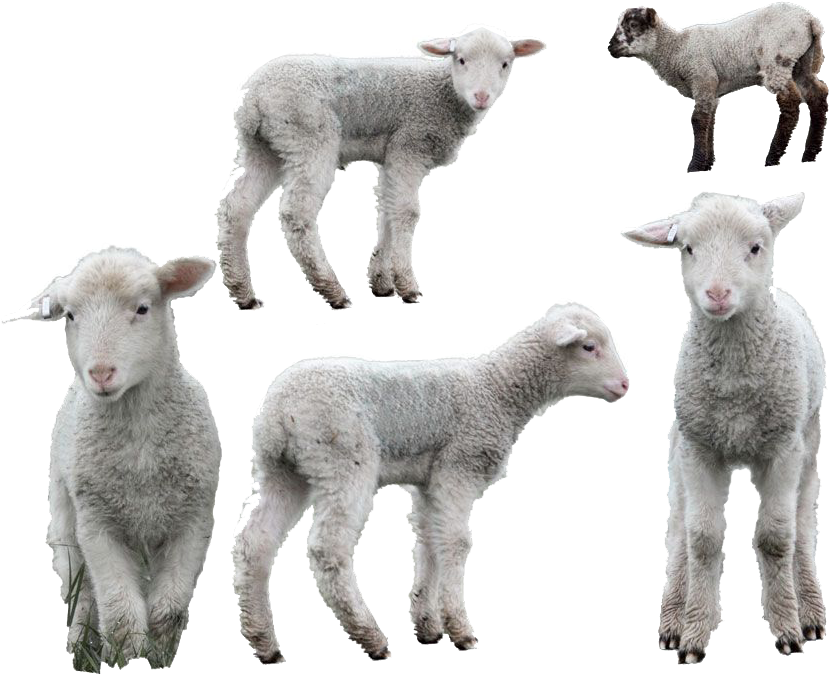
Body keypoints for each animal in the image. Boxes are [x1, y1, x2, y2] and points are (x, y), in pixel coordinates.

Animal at [4, 246, 221, 666]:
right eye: (71, 316)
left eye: (142, 308)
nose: (101, 373)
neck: (139, 444)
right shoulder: (97, 525)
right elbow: (120, 614)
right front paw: (127, 661)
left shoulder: (193, 520)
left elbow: (168, 610)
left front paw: (159, 658)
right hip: (68, 527)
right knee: (82, 598)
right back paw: (81, 650)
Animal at [216, 27, 546, 310]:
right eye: (461, 59)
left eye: (505, 64)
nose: (481, 96)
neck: (444, 96)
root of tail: (255, 96)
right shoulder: (409, 145)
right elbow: (408, 212)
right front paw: (407, 286)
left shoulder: (391, 156)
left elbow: (387, 210)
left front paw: (382, 283)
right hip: (308, 135)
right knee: (297, 213)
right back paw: (332, 290)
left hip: (264, 148)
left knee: (238, 207)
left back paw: (243, 293)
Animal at [231, 299, 629, 661]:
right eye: (589, 347)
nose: (624, 385)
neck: (499, 386)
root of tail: (280, 409)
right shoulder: (459, 467)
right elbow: (456, 543)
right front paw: (460, 630)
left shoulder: (430, 480)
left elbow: (429, 542)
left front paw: (428, 627)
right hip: (342, 458)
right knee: (329, 548)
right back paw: (371, 637)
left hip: (283, 471)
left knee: (255, 543)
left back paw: (264, 642)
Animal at [608, 5, 827, 171]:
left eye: (633, 25)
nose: (611, 48)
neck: (676, 49)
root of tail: (811, 21)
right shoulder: (711, 90)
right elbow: (709, 121)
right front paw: (707, 163)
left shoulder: (702, 78)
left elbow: (698, 120)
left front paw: (695, 165)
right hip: (804, 61)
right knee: (817, 96)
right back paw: (810, 154)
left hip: (778, 58)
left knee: (790, 104)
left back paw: (772, 158)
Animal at [620, 191, 825, 662]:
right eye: (688, 249)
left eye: (755, 248)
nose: (716, 293)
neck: (736, 394)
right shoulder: (699, 450)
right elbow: (702, 539)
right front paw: (694, 633)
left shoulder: (782, 450)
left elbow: (775, 538)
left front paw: (787, 629)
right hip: (677, 452)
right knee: (678, 530)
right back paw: (672, 621)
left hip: (807, 443)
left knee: (803, 524)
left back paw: (808, 611)